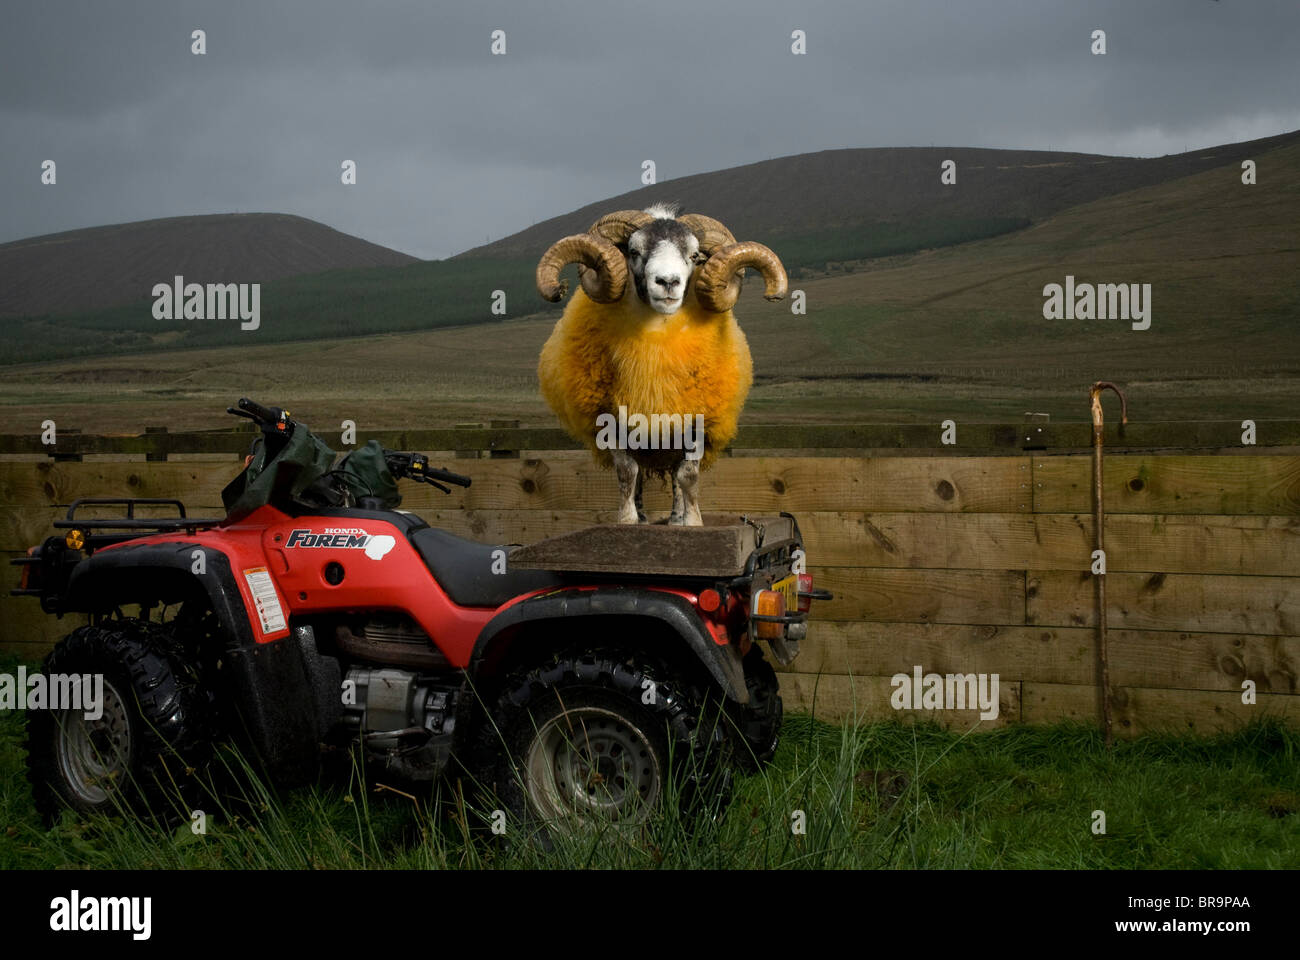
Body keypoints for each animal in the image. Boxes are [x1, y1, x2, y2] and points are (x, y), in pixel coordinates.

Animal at [536, 204, 787, 525]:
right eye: (633, 251)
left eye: (695, 256)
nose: (668, 282)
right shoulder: (609, 418)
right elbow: (626, 472)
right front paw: (628, 520)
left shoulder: (696, 420)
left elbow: (688, 475)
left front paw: (692, 522)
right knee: (640, 474)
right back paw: (643, 514)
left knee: (676, 477)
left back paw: (676, 516)